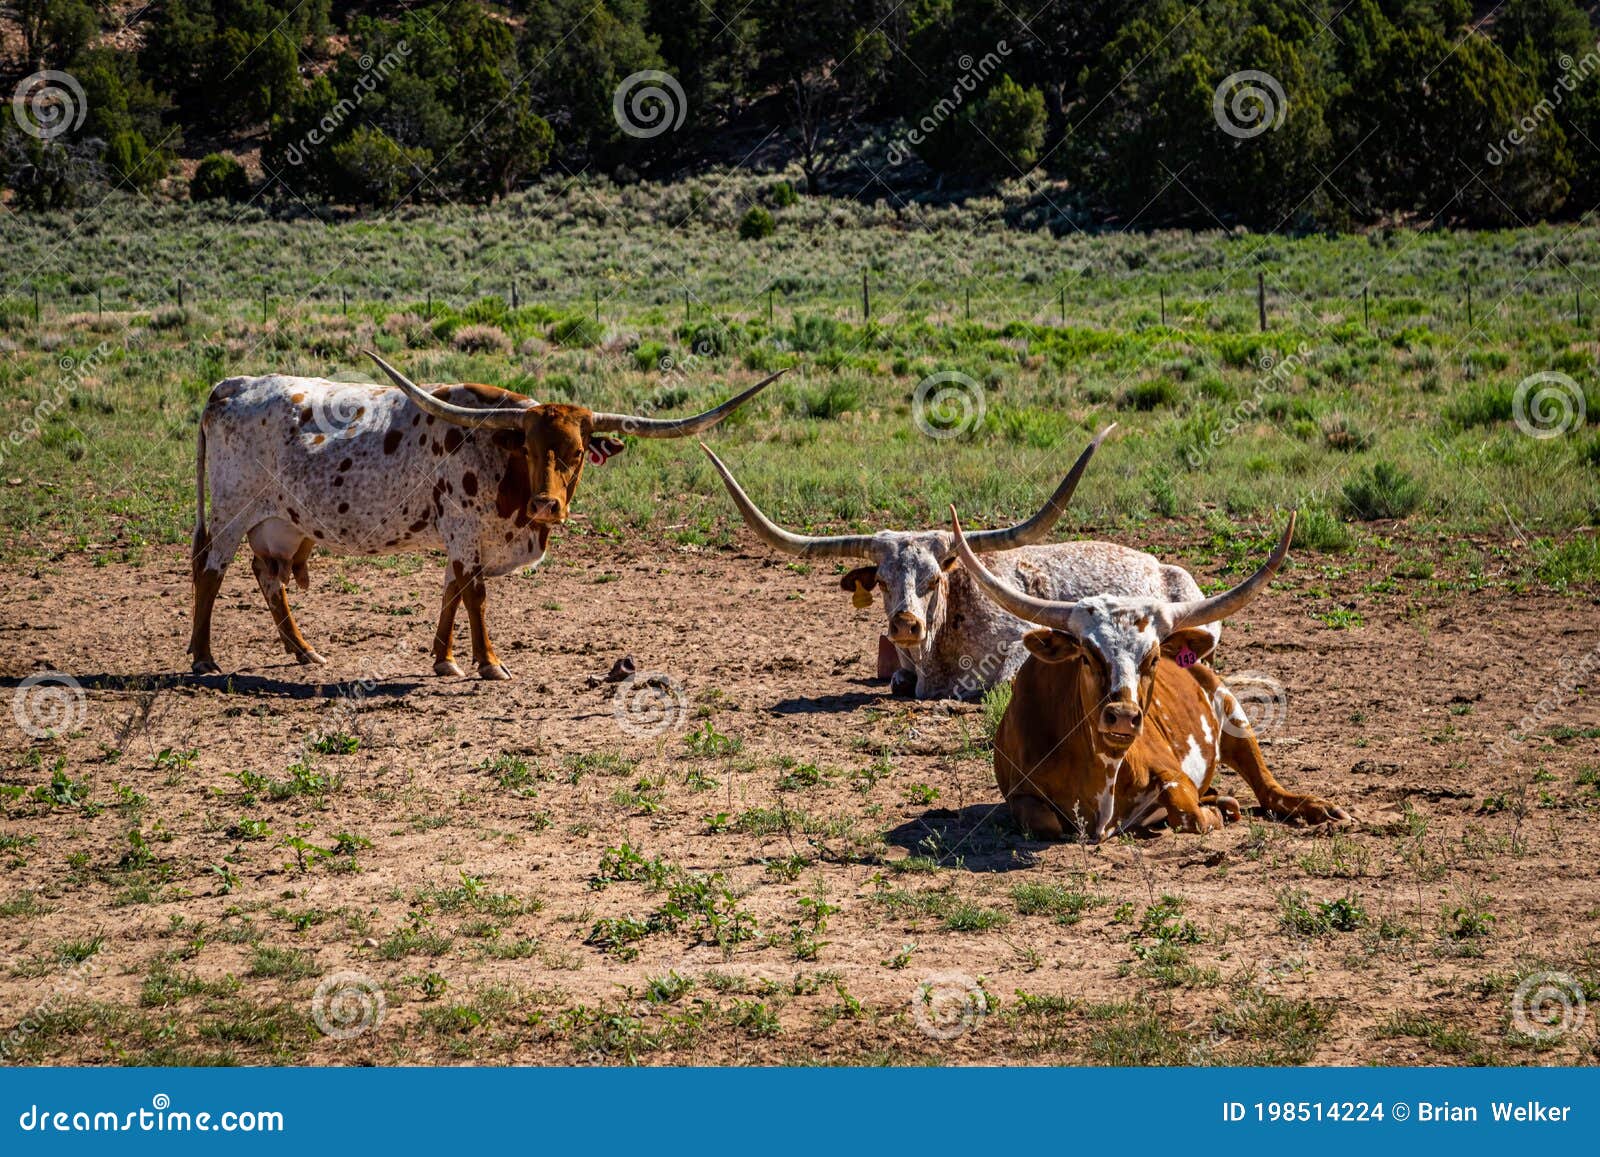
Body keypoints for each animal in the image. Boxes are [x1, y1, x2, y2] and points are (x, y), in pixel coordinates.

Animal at [189, 350, 780, 679]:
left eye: (576, 451)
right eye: (530, 446)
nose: (547, 505)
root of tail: (230, 386)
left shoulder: (460, 541)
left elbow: (450, 592)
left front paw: (444, 659)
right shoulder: (468, 533)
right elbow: (474, 595)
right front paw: (488, 662)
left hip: (279, 523)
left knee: (268, 577)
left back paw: (304, 653)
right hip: (231, 511)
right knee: (210, 572)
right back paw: (203, 658)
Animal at [947, 507, 1348, 841]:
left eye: (1153, 658)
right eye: (1087, 656)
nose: (1123, 717)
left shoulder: (1173, 773)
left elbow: (1190, 815)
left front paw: (1209, 814)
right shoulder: (1020, 795)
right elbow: (1045, 822)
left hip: (1235, 713)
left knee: (1268, 789)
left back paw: (1317, 809)